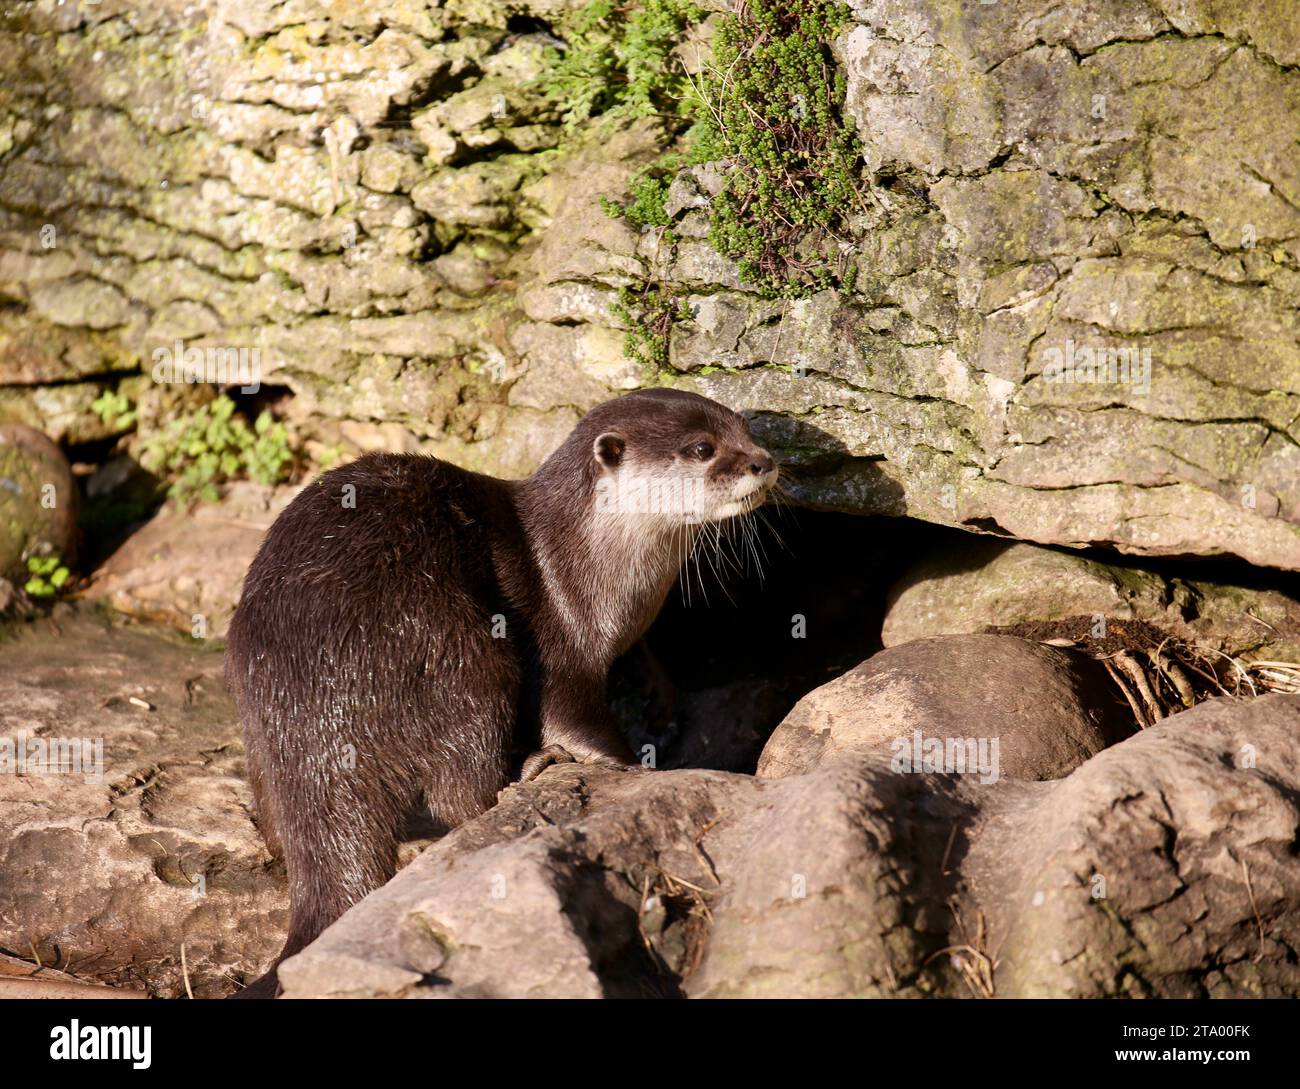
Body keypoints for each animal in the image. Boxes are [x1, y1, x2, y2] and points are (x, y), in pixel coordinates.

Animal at [224, 388, 777, 997]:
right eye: (702, 448)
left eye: (745, 429)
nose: (764, 461)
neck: (589, 566)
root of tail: (317, 725)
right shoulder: (562, 638)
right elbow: (570, 715)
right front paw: (632, 767)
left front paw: (659, 695)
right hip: (458, 654)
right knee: (460, 788)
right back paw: (529, 769)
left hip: (255, 724)